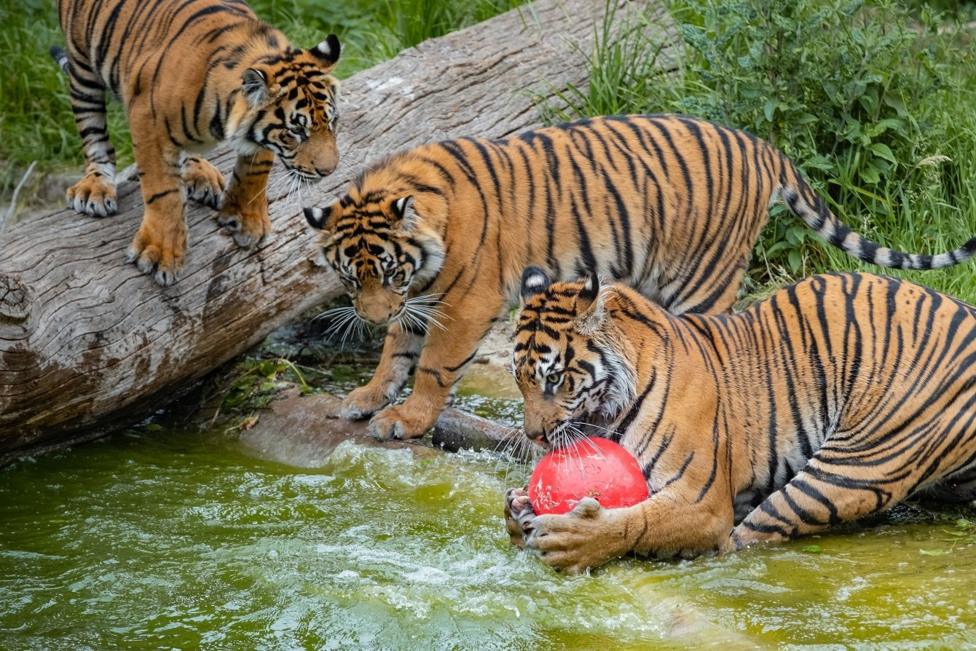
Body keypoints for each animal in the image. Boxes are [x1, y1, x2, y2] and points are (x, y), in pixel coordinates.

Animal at [54, 0, 342, 285]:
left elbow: (255, 173)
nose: (328, 171)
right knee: (93, 132)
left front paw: (246, 221)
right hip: (82, 69)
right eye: (296, 131)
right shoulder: (147, 120)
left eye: (332, 121)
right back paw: (95, 187)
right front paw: (159, 252)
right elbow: (163, 192)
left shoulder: (256, 138)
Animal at [302, 114, 976, 441]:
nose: (368, 315)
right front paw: (366, 398)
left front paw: (407, 419)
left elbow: (434, 365)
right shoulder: (420, 298)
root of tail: (762, 147)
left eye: (388, 267)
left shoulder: (465, 301)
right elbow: (398, 349)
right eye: (351, 276)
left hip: (702, 279)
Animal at [504, 268, 976, 573]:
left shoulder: (701, 500)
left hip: (851, 469)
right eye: (518, 379)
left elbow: (638, 522)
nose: (534, 436)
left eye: (554, 379)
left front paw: (576, 539)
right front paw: (518, 508)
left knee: (738, 541)